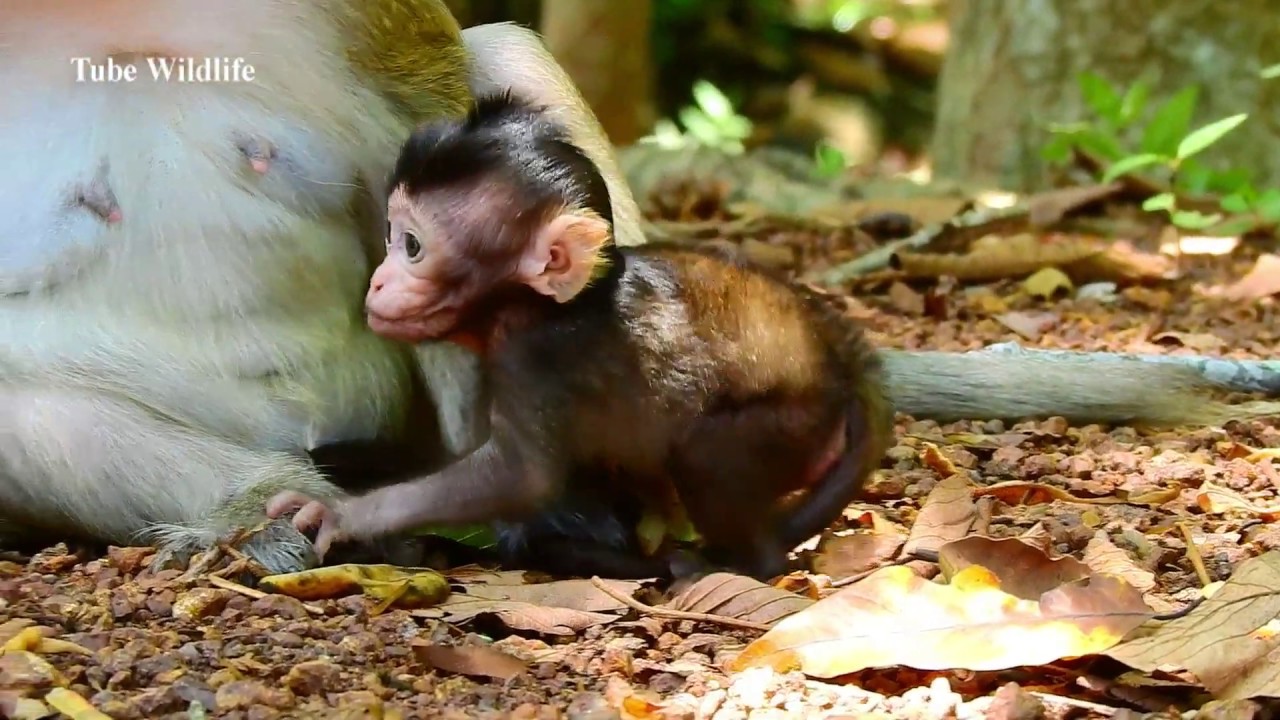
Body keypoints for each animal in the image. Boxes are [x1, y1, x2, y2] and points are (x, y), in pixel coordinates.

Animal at [264, 91, 895, 581]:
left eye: (412, 246)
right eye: (391, 236)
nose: (378, 280)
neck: (539, 306)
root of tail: (840, 371)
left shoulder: (535, 359)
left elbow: (520, 477)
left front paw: (344, 513)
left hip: (792, 425)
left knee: (708, 453)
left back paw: (730, 563)